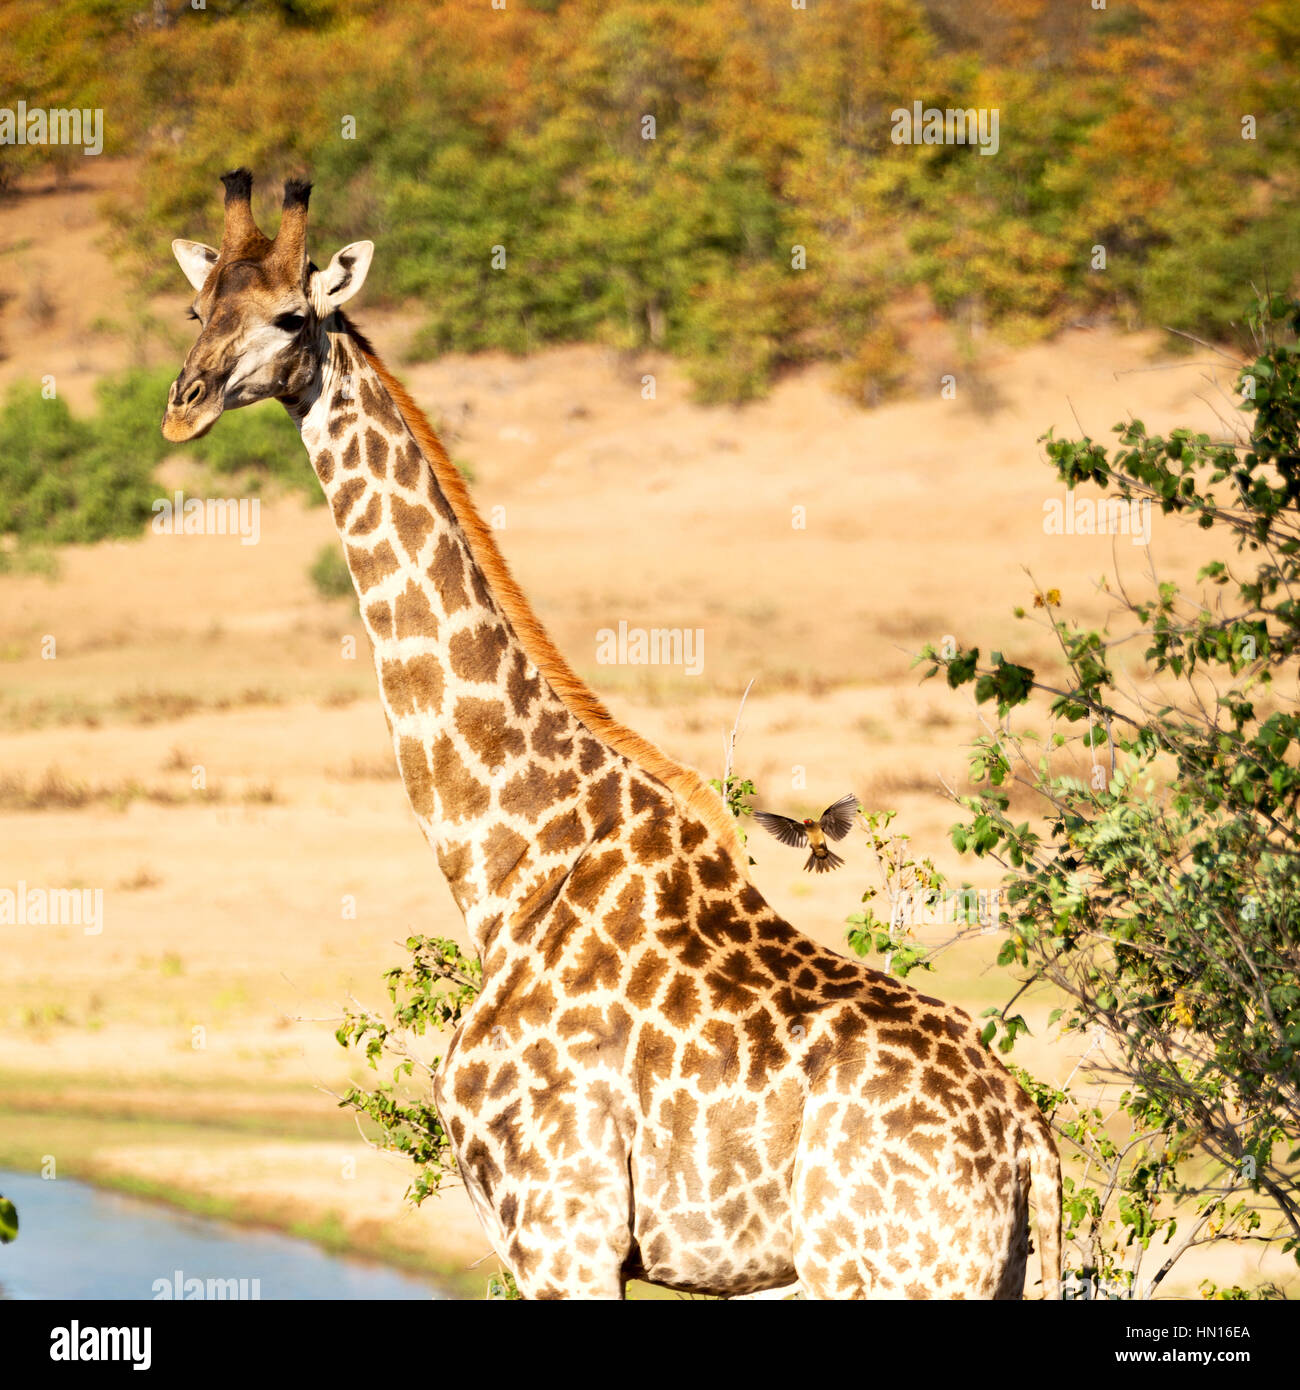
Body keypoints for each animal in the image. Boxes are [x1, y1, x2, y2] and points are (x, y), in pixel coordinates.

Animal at [162, 171, 1061, 1301]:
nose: (183, 404)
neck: (510, 864)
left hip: (884, 1273)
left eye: (290, 315)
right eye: (198, 308)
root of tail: (1029, 1141)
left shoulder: (560, 1221)